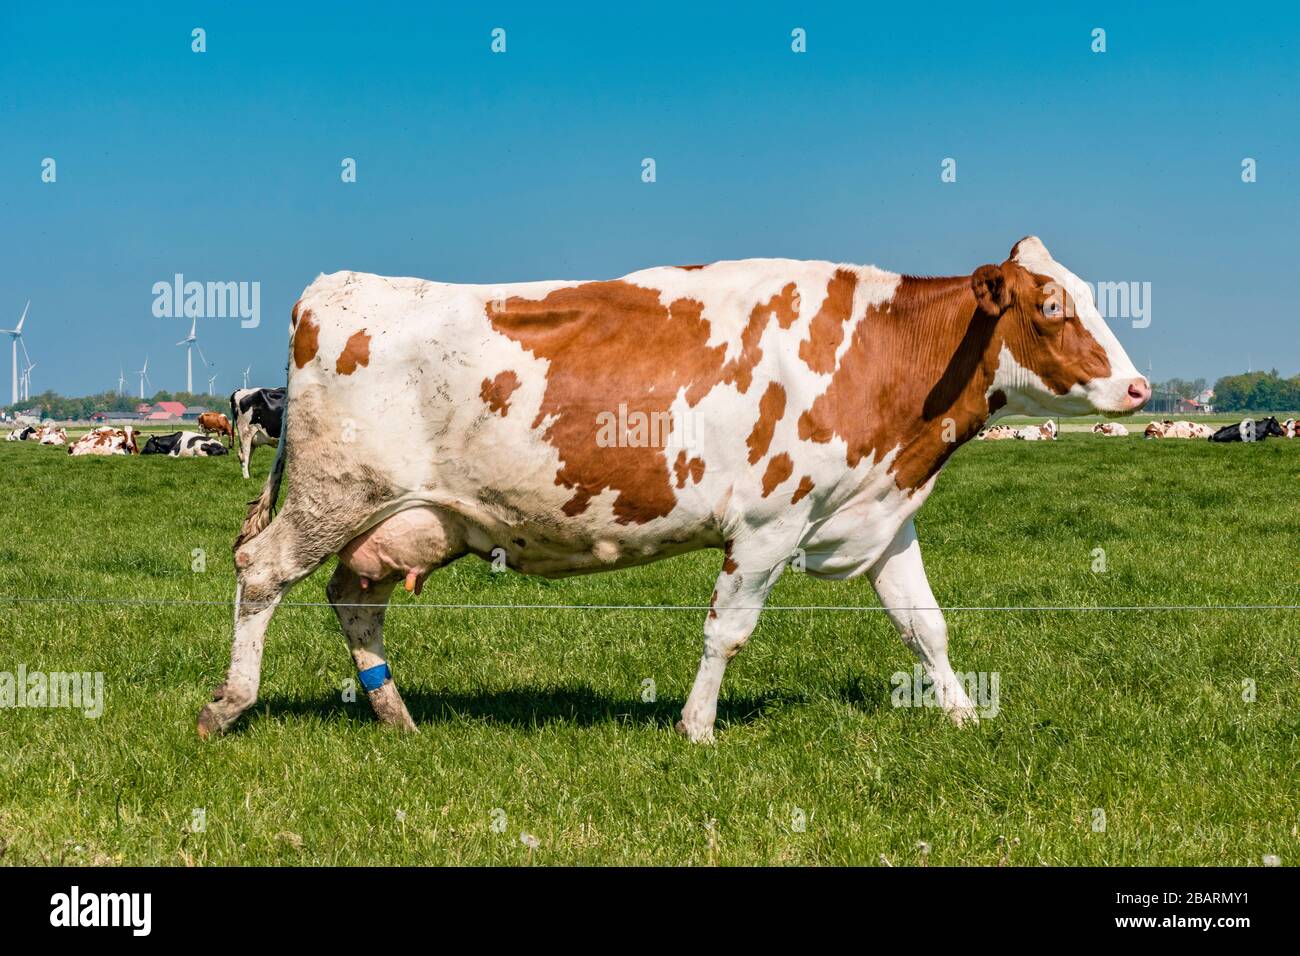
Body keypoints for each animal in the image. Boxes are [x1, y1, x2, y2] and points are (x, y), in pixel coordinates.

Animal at [198, 236, 1150, 742]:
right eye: (1053, 308)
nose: (1140, 389)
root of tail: (339, 289)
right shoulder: (769, 524)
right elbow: (728, 631)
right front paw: (696, 729)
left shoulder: (877, 516)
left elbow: (927, 627)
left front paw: (960, 715)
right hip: (333, 494)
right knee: (260, 572)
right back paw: (229, 706)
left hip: (404, 517)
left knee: (353, 598)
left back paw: (394, 714)